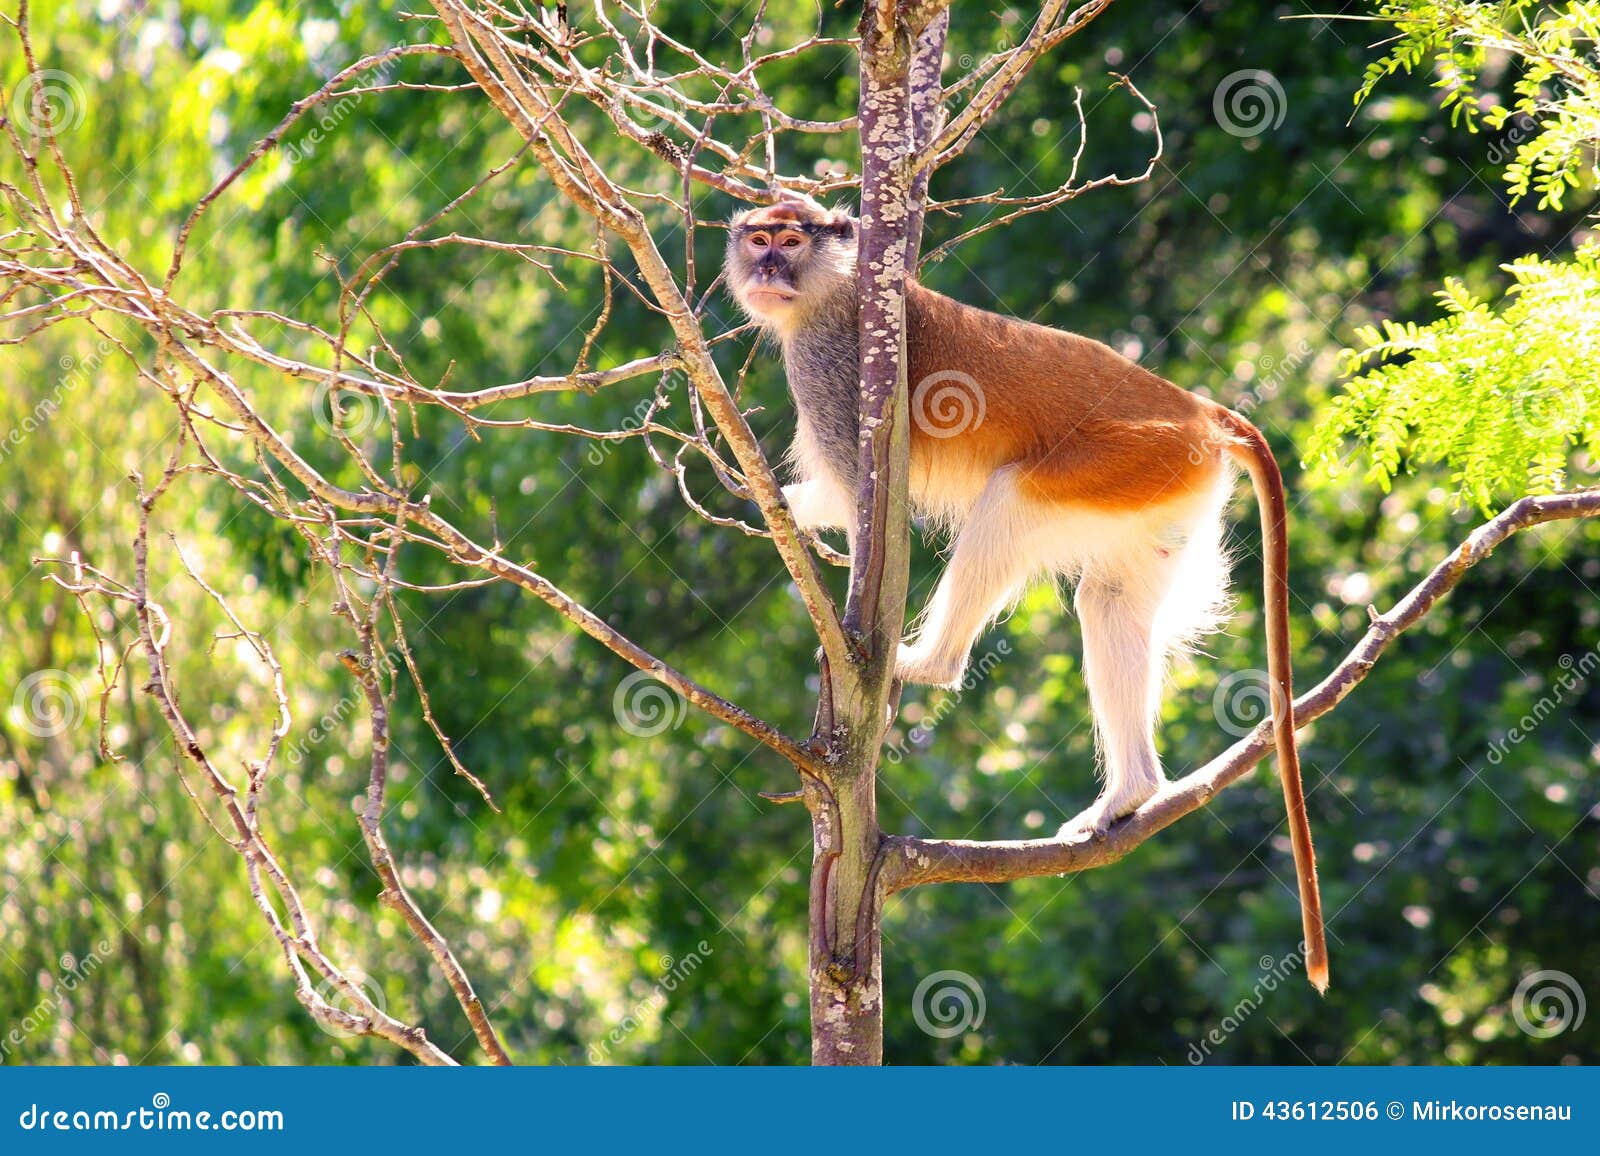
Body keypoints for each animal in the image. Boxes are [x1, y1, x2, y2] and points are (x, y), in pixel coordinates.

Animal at [725, 199, 1328, 992]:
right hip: (1168, 486)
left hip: (1128, 461)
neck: (840, 285)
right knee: (1108, 602)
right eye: (759, 237)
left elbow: (863, 498)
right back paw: (1131, 793)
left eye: (791, 240)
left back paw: (926, 664)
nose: (766, 265)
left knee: (1007, 500)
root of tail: (1197, 411)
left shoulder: (830, 364)